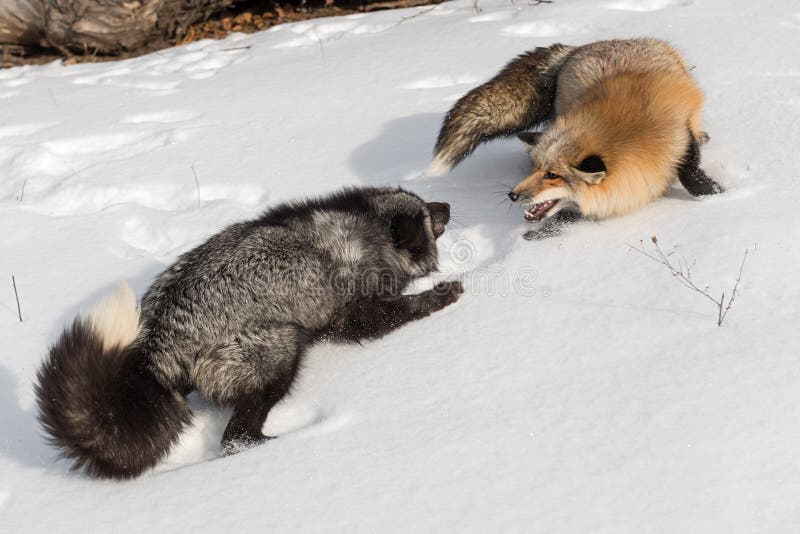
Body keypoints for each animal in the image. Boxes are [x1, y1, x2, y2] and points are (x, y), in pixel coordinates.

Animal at [35, 187, 462, 479]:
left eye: (426, 203)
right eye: (427, 213)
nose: (448, 204)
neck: (367, 234)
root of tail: (159, 335)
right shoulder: (355, 313)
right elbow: (402, 308)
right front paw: (442, 295)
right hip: (279, 354)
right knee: (236, 438)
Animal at [428, 38, 723, 238]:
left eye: (552, 175)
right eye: (534, 169)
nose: (511, 195)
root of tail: (576, 49)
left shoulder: (679, 134)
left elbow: (690, 171)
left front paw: (716, 196)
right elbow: (568, 216)